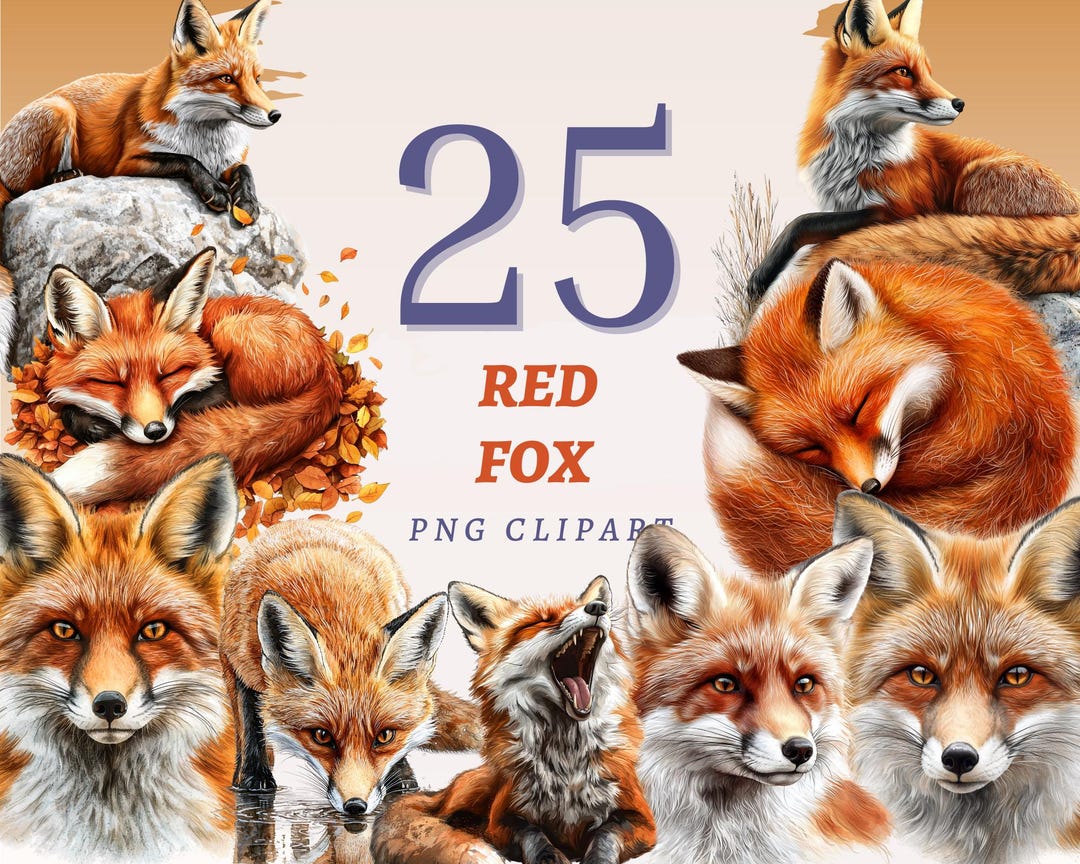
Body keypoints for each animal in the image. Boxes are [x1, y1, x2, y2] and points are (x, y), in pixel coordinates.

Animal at [40, 246, 342, 506]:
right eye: (112, 382)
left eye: (169, 374)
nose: (155, 431)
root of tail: (329, 373)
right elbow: (67, 410)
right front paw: (90, 424)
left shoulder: (218, 386)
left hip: (231, 328)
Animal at [219, 519, 482, 817]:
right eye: (322, 736)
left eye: (385, 736)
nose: (356, 806)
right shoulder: (234, 659)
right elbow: (250, 724)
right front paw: (254, 778)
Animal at [373, 577, 656, 864]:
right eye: (542, 620)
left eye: (593, 606)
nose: (598, 607)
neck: (566, 761)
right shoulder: (503, 818)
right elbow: (531, 833)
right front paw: (548, 856)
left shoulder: (642, 820)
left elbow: (606, 835)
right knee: (444, 814)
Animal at [747, 0, 1080, 298]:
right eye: (904, 72)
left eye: (929, 72)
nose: (959, 103)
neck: (855, 156)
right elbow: (809, 219)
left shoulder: (901, 208)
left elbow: (804, 220)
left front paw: (761, 274)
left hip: (972, 181)